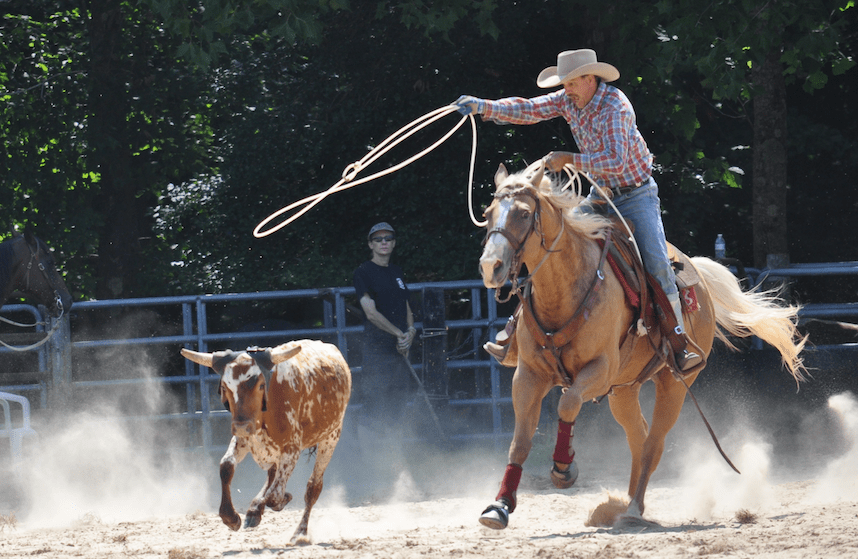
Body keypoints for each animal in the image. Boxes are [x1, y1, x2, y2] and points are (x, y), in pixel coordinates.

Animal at [181, 339, 351, 543]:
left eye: (261, 385)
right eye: (225, 387)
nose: (241, 425)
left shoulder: (292, 449)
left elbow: (275, 496)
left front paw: (275, 501)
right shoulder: (245, 439)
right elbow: (226, 466)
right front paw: (231, 516)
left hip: (331, 437)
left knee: (313, 487)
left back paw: (300, 532)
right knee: (272, 474)